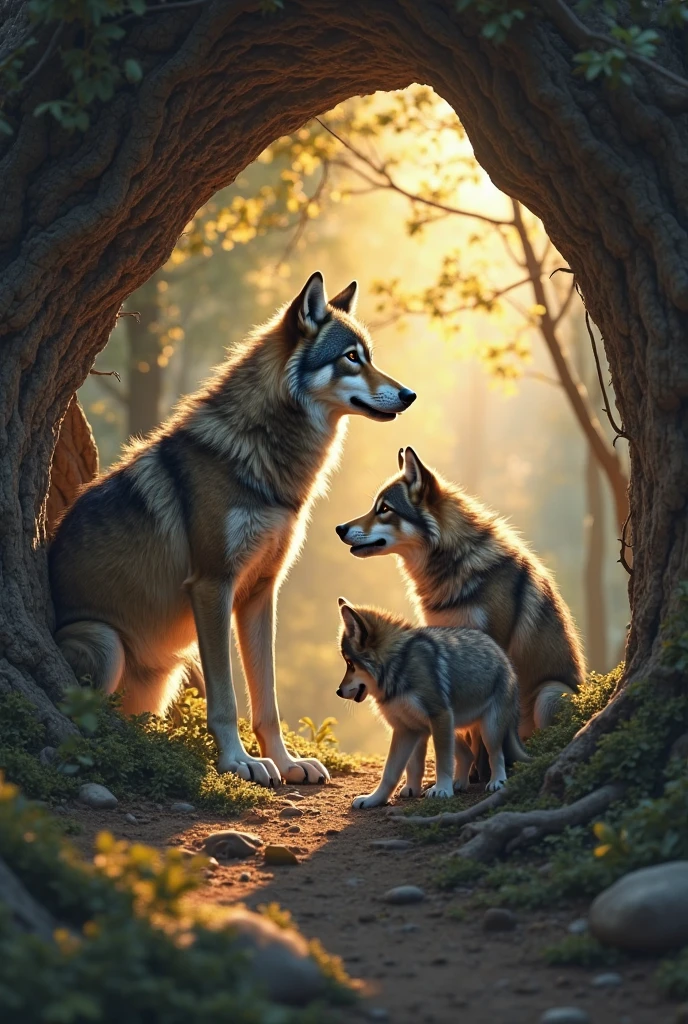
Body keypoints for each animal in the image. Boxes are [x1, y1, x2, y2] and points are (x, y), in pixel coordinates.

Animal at [49, 272, 416, 787]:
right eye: (351, 357)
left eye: (370, 356)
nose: (409, 394)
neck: (265, 458)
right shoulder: (212, 586)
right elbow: (225, 698)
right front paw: (239, 763)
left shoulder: (262, 591)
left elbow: (268, 699)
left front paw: (285, 762)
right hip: (105, 643)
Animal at [336, 599, 529, 806]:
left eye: (350, 664)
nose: (338, 691)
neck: (398, 666)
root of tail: (501, 653)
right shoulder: (408, 728)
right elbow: (393, 772)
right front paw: (375, 799)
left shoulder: (438, 717)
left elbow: (442, 761)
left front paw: (442, 789)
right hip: (449, 728)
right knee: (467, 754)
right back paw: (459, 783)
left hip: (486, 729)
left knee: (496, 754)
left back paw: (496, 782)